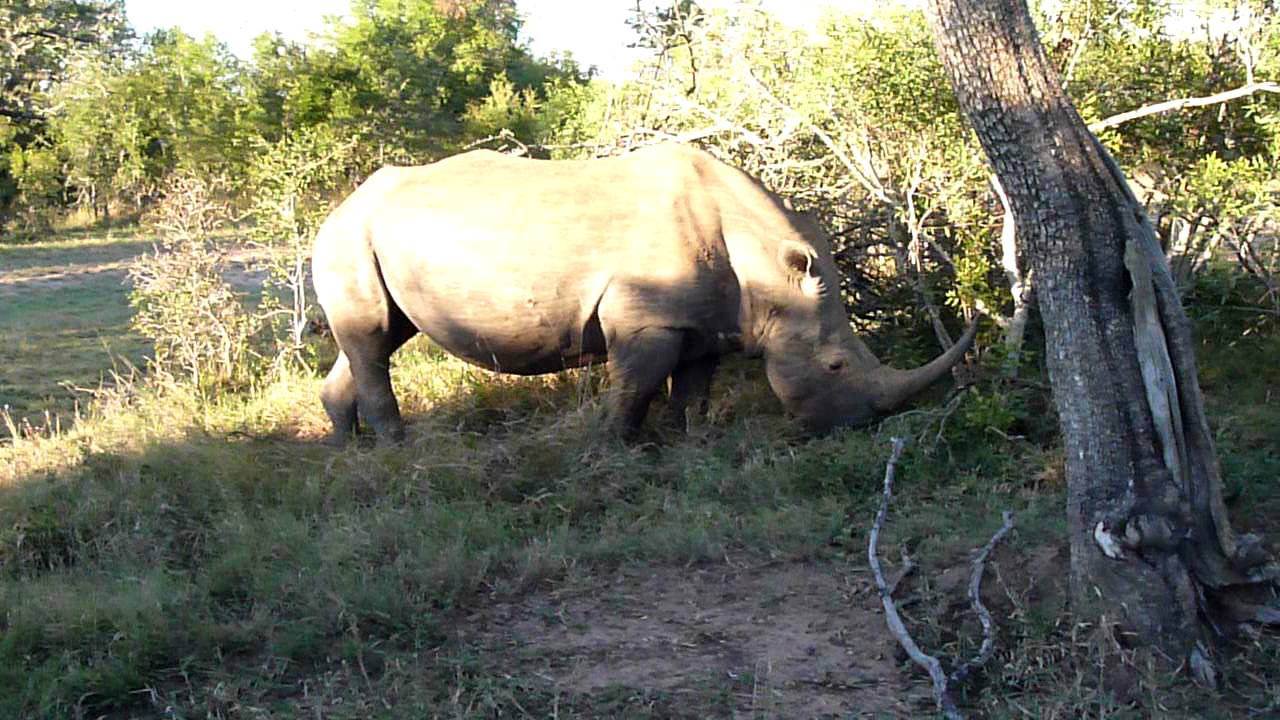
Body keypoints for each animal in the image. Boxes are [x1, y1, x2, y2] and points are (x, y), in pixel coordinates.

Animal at [312, 143, 976, 443]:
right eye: (836, 365)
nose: (863, 424)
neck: (767, 265)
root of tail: (334, 209)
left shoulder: (708, 319)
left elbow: (695, 388)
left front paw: (693, 445)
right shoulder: (647, 318)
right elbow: (635, 385)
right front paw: (618, 449)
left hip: (366, 237)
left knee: (377, 338)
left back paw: (350, 450)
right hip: (350, 234)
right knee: (374, 341)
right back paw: (397, 450)